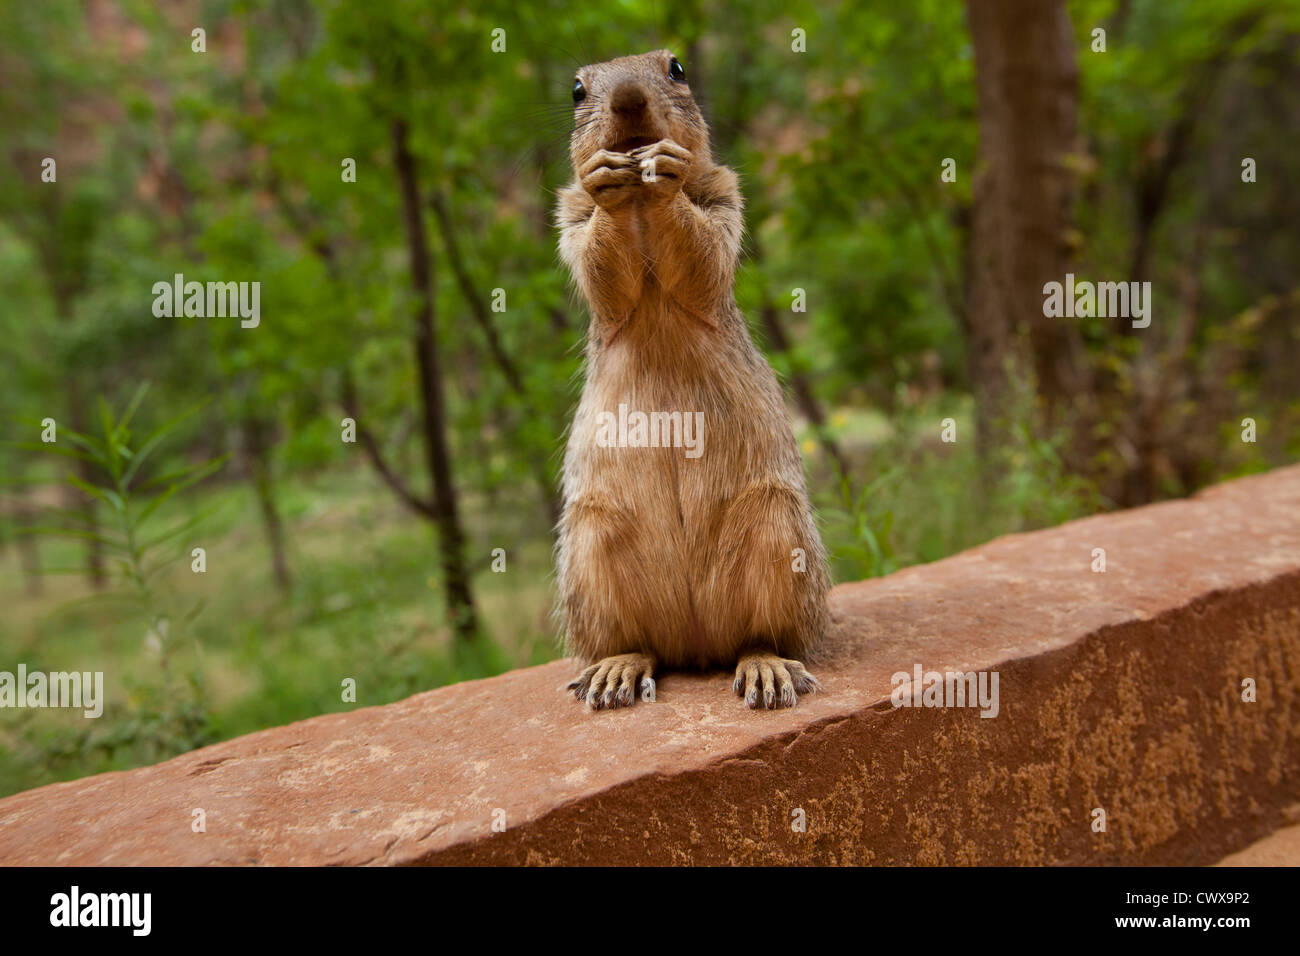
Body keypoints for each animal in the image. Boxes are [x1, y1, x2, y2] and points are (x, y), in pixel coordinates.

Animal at [554, 50, 830, 710]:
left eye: (676, 67)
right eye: (576, 89)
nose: (628, 98)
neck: (641, 211)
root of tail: (697, 646)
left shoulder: (726, 202)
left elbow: (700, 252)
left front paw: (667, 169)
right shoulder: (570, 222)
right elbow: (601, 266)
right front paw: (606, 177)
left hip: (776, 528)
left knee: (761, 636)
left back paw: (766, 667)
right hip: (590, 547)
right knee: (640, 644)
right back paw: (617, 668)